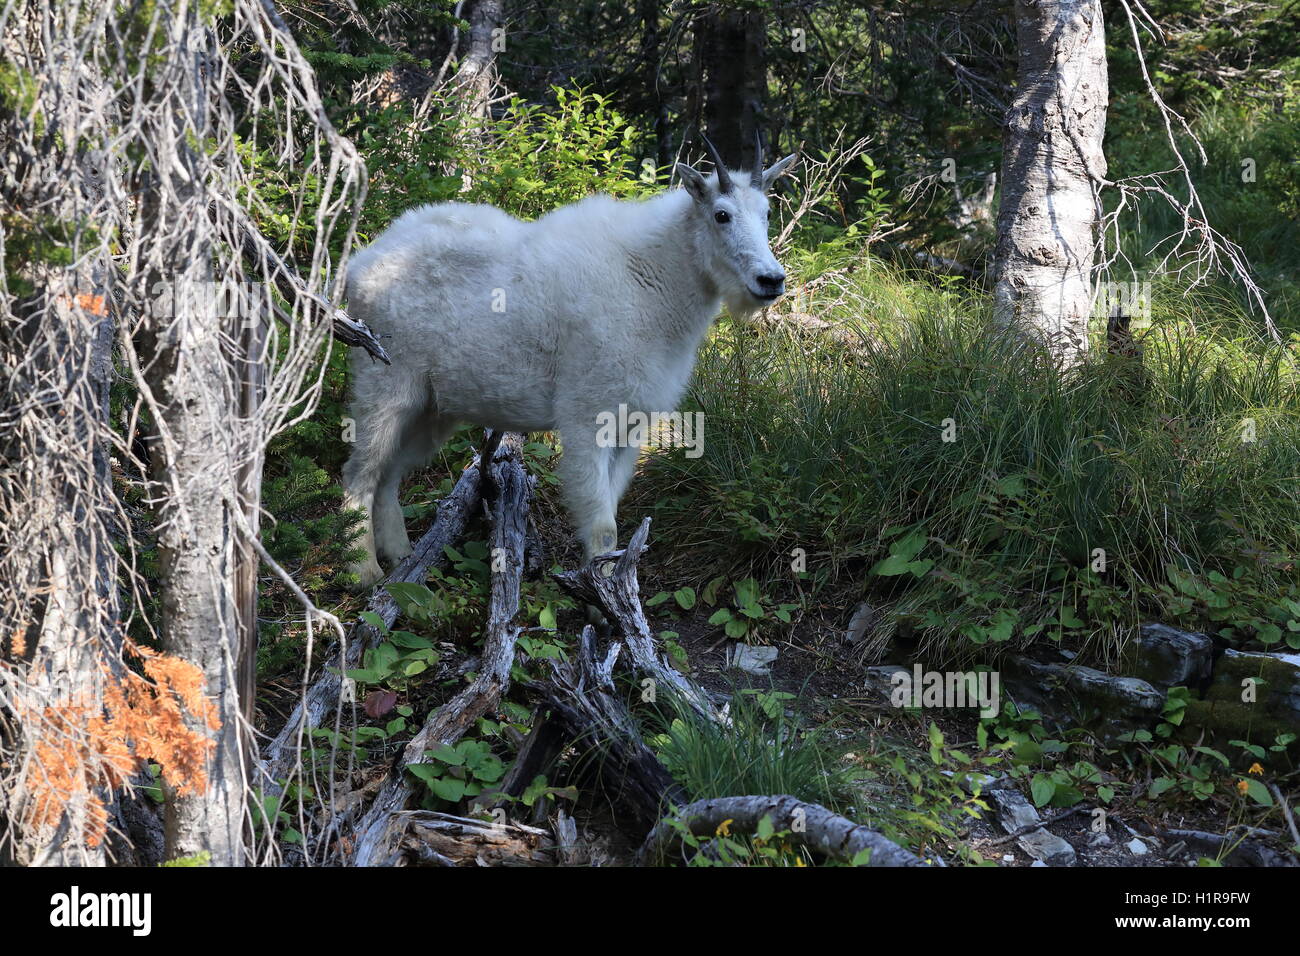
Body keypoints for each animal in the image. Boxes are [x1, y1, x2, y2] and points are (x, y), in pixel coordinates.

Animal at [341, 136, 797, 587]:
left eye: (767, 213)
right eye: (721, 215)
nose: (771, 280)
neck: (654, 280)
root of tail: (357, 268)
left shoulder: (634, 421)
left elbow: (612, 508)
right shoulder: (587, 414)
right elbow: (602, 523)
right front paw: (605, 593)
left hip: (432, 408)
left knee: (388, 475)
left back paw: (401, 556)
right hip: (384, 385)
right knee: (360, 473)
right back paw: (363, 570)